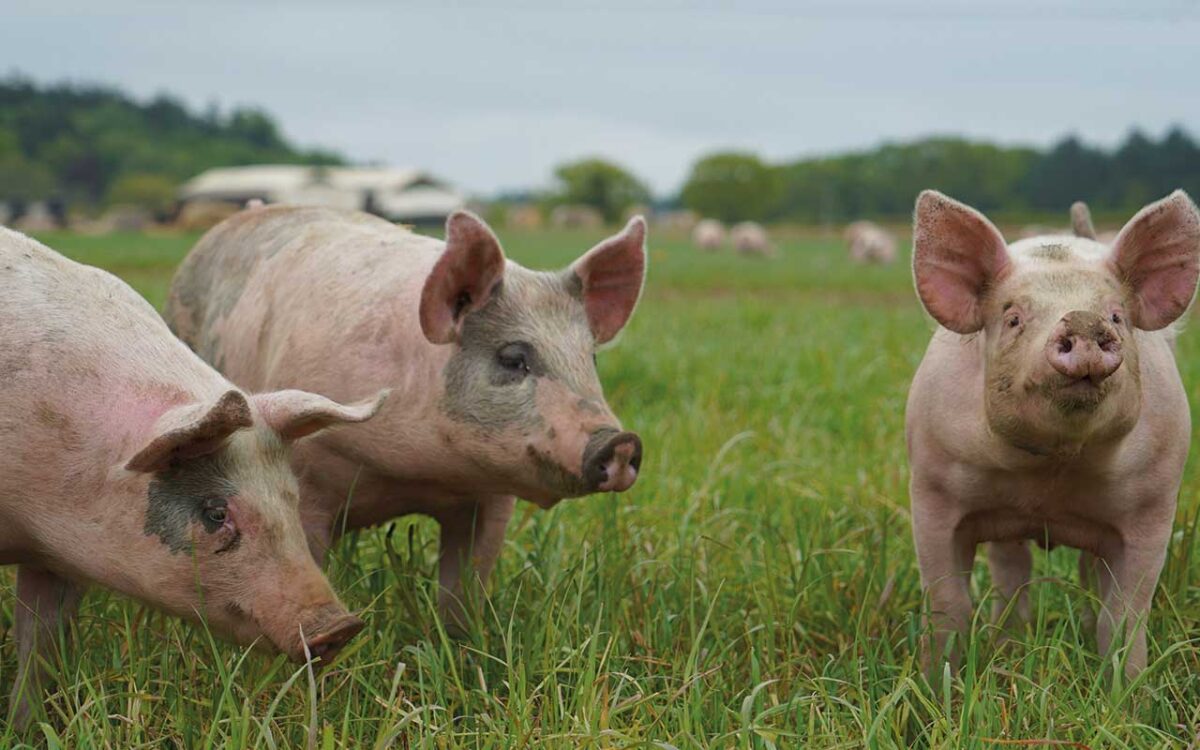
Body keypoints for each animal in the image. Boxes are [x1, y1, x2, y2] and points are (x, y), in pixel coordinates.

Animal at [0, 226, 385, 726]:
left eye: (292, 498)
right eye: (215, 512)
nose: (340, 625)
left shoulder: (55, 556)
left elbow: (41, 644)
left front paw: (26, 728)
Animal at [164, 206, 646, 627]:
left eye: (591, 359)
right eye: (513, 358)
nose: (619, 442)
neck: (417, 475)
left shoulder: (491, 499)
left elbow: (465, 587)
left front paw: (461, 644)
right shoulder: (308, 481)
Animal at [906, 190, 1200, 680]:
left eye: (1116, 316)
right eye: (1013, 318)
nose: (1081, 320)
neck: (1049, 472)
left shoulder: (1154, 502)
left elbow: (1124, 615)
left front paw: (1128, 692)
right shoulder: (931, 489)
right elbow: (948, 606)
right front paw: (936, 683)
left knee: (1082, 572)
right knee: (1012, 567)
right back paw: (1007, 644)